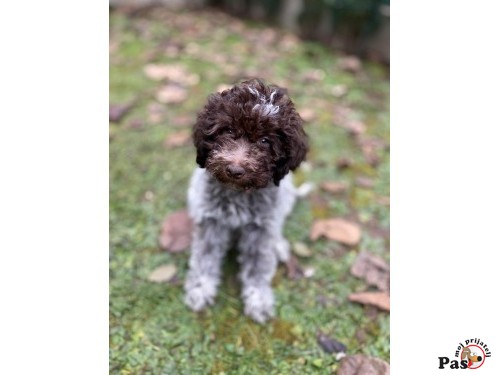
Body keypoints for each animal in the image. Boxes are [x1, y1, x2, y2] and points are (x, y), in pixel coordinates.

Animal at [185, 78, 308, 324]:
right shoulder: (211, 221)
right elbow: (205, 256)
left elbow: (258, 265)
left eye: (265, 141)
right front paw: (200, 289)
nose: (234, 170)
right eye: (228, 130)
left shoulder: (260, 229)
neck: (239, 193)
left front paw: (258, 299)